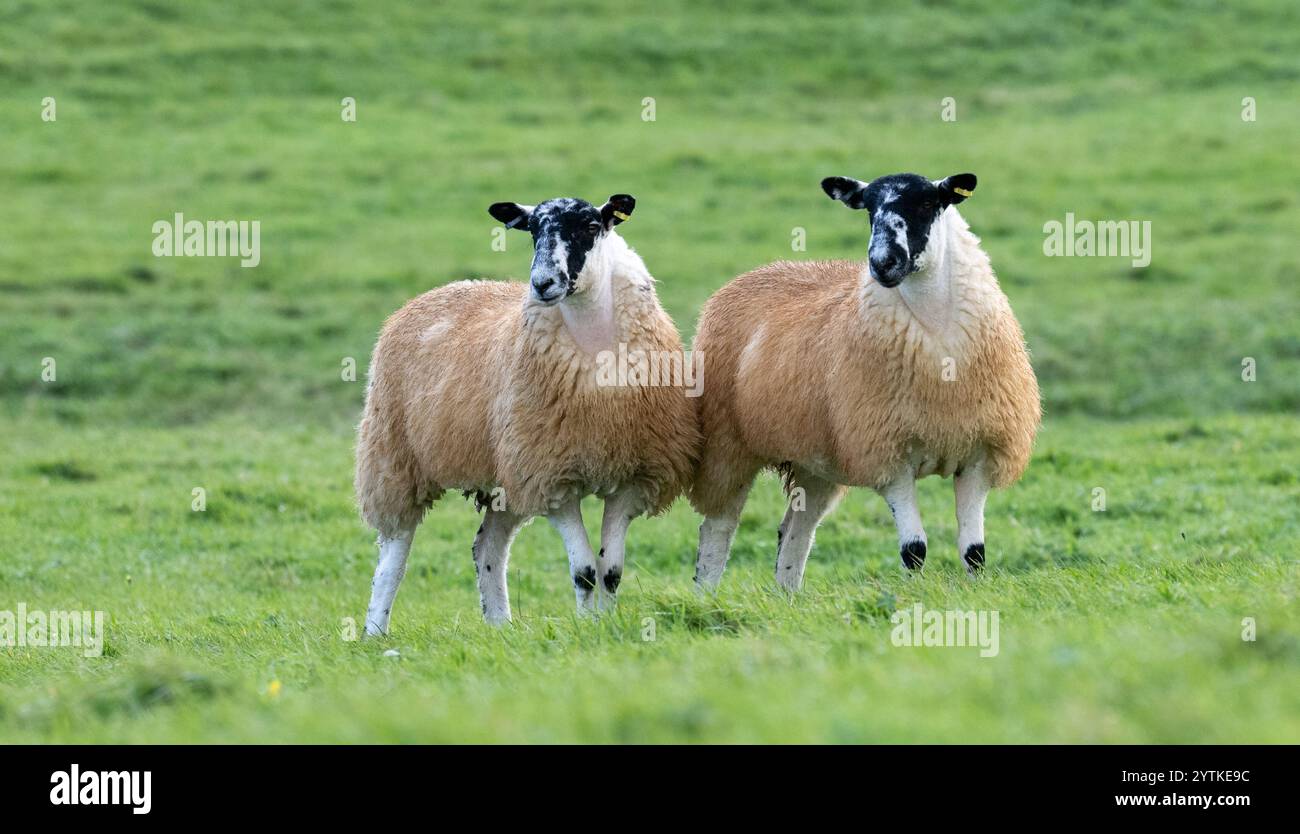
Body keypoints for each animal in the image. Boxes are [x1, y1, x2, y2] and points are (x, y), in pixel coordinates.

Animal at [355, 194, 699, 634]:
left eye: (591, 226)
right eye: (532, 230)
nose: (543, 283)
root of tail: (436, 292)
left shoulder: (633, 476)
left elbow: (610, 572)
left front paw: (605, 624)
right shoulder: (551, 478)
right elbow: (585, 571)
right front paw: (587, 627)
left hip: (506, 471)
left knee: (487, 546)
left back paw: (500, 628)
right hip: (393, 458)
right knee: (392, 559)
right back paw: (374, 632)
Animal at [689, 171, 1040, 589]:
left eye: (927, 203)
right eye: (869, 210)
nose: (882, 262)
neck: (938, 340)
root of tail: (755, 273)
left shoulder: (980, 455)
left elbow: (974, 552)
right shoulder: (888, 456)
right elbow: (914, 550)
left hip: (814, 461)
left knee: (794, 532)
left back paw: (788, 597)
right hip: (728, 446)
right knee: (718, 530)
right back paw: (706, 596)